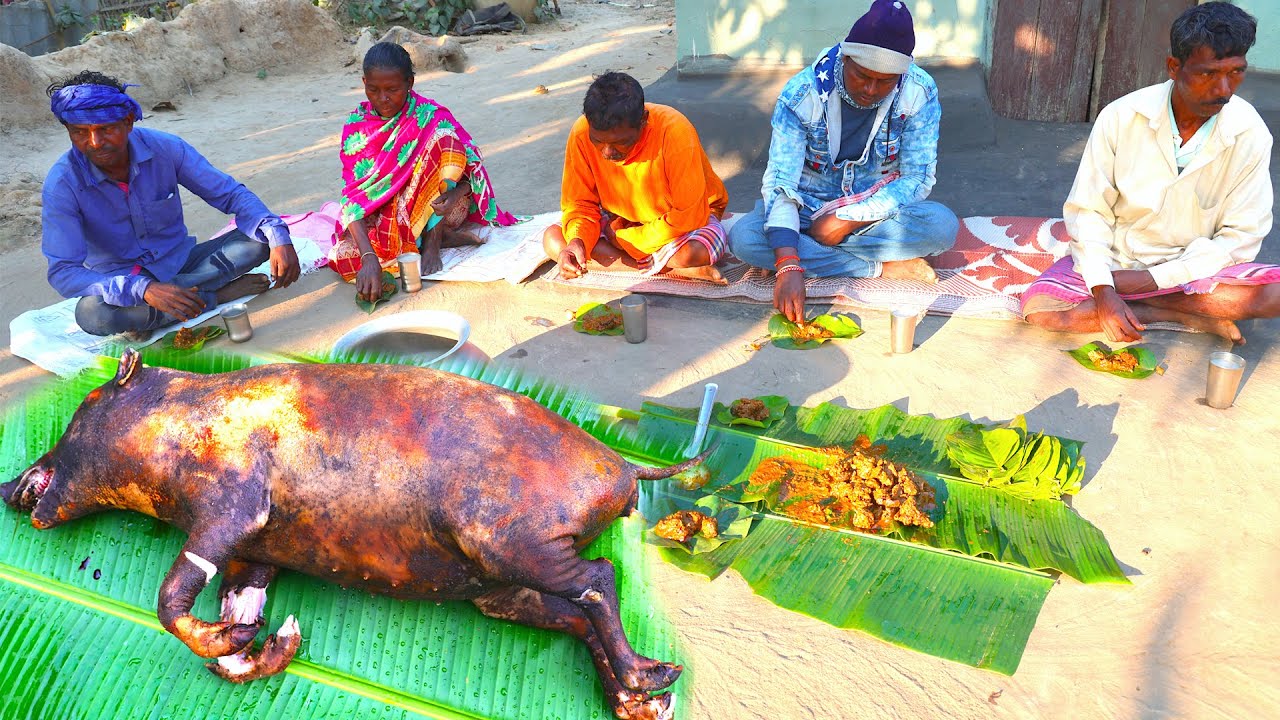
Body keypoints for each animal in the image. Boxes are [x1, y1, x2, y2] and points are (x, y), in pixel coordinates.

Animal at [2, 349, 710, 720]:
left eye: (86, 403)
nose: (10, 485)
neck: (182, 420)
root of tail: (625, 466)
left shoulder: (232, 511)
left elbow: (170, 599)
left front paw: (248, 637)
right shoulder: (254, 556)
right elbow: (236, 620)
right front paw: (269, 640)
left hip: (511, 542)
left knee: (600, 580)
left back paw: (647, 676)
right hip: (499, 589)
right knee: (575, 616)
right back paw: (640, 696)